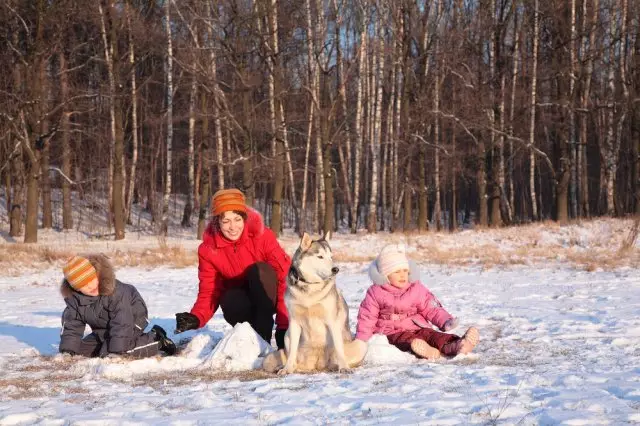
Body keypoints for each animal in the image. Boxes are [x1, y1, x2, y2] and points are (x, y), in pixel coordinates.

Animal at [262, 231, 368, 374]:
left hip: (360, 345)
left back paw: (336, 366)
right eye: (320, 256)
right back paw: (290, 367)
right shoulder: (294, 323)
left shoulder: (333, 321)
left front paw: (344, 367)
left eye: (331, 257)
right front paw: (287, 369)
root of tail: (316, 364)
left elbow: (339, 348)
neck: (310, 288)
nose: (336, 269)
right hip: (287, 336)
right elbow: (292, 352)